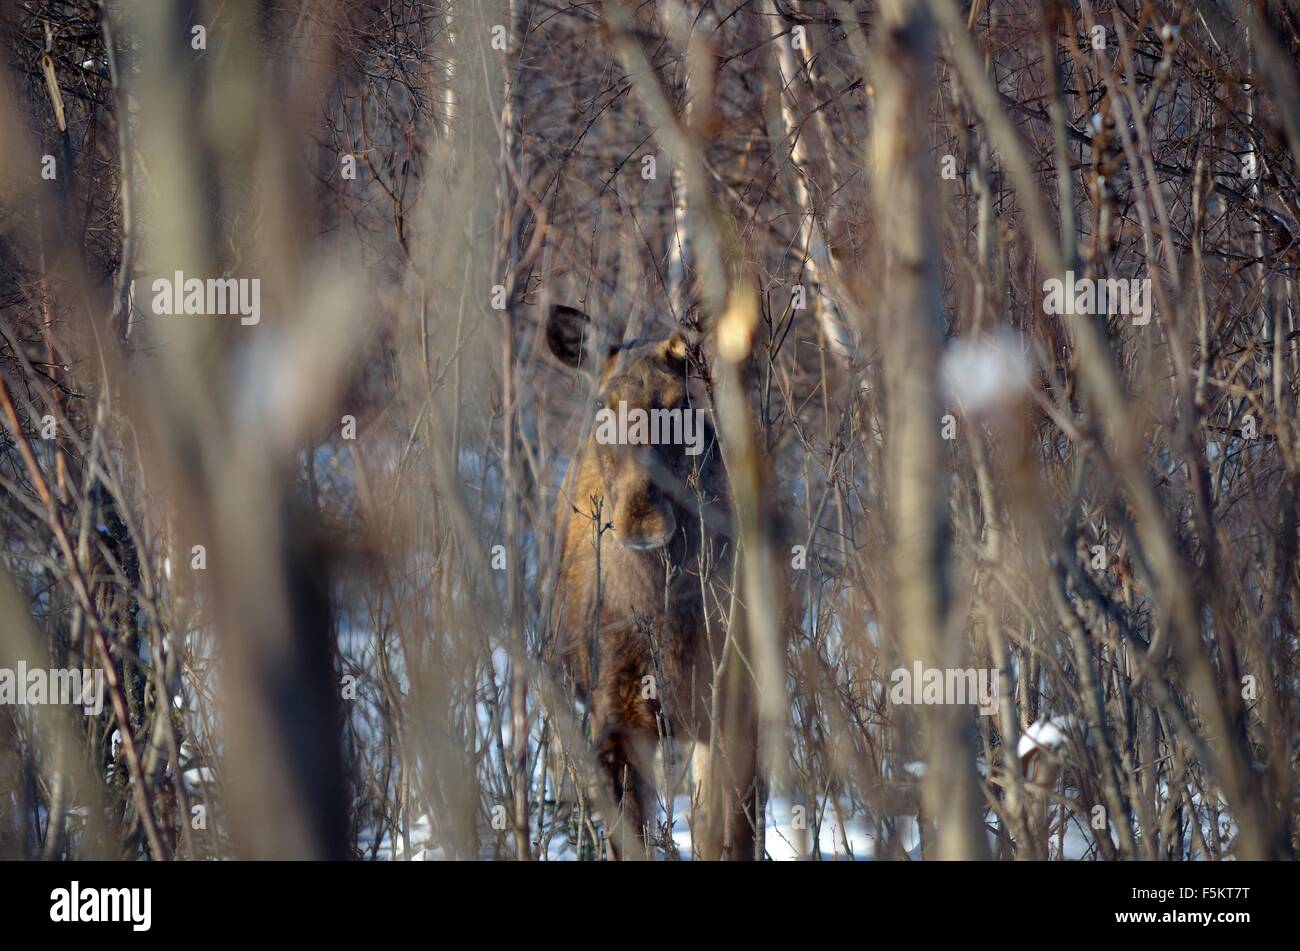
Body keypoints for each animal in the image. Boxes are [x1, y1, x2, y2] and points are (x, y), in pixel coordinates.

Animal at [544, 303, 757, 860]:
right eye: (603, 405)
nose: (642, 522)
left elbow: (727, 836)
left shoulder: (729, 706)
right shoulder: (616, 719)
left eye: (679, 403)